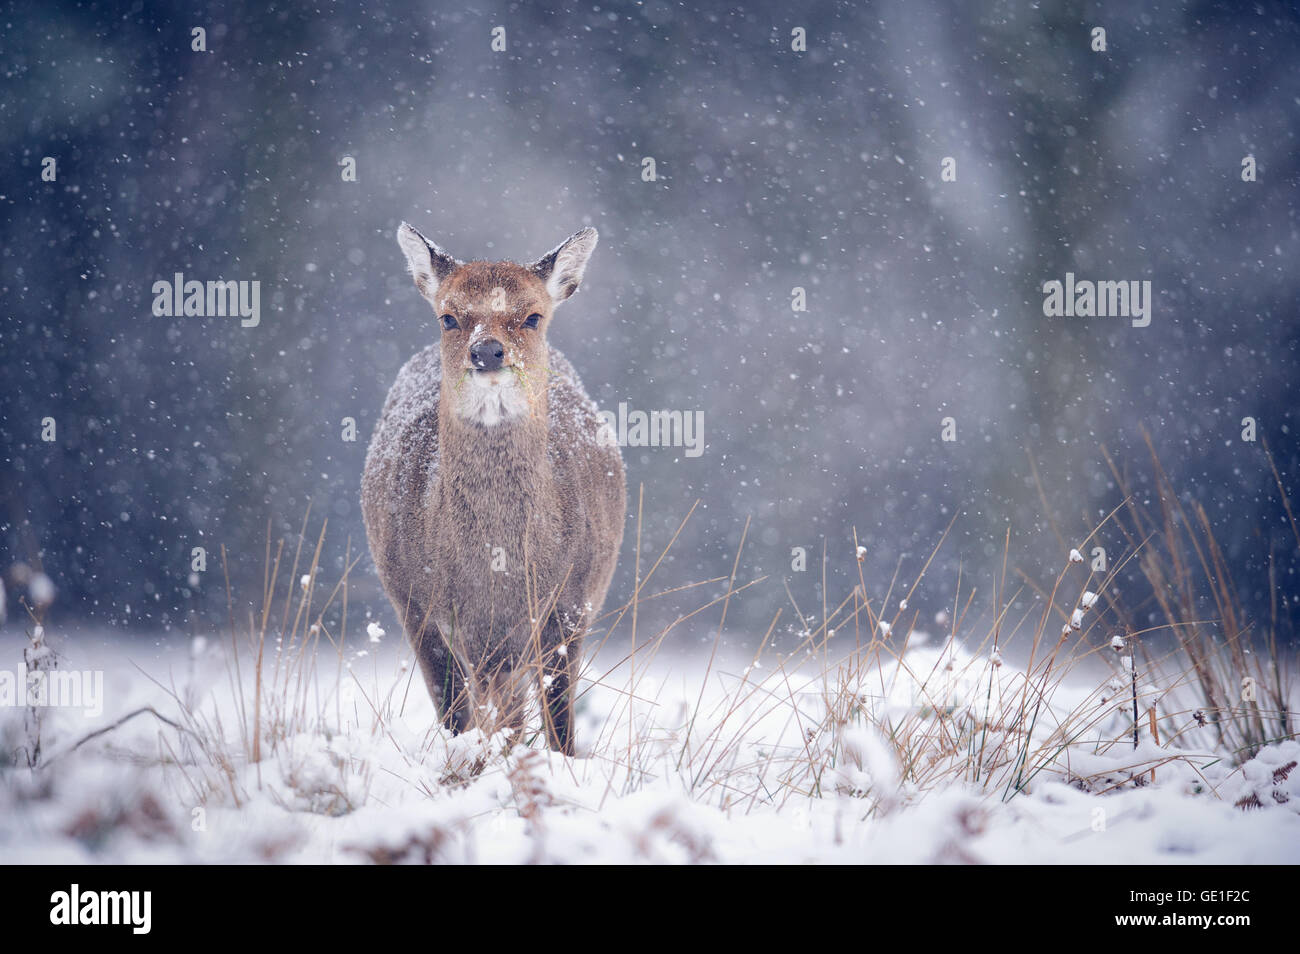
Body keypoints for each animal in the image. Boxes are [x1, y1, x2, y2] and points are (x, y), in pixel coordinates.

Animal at [361, 222, 625, 755]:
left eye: (532, 316)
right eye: (448, 316)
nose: (486, 351)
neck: (499, 572)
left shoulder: (571, 605)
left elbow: (559, 722)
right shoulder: (425, 607)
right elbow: (465, 715)